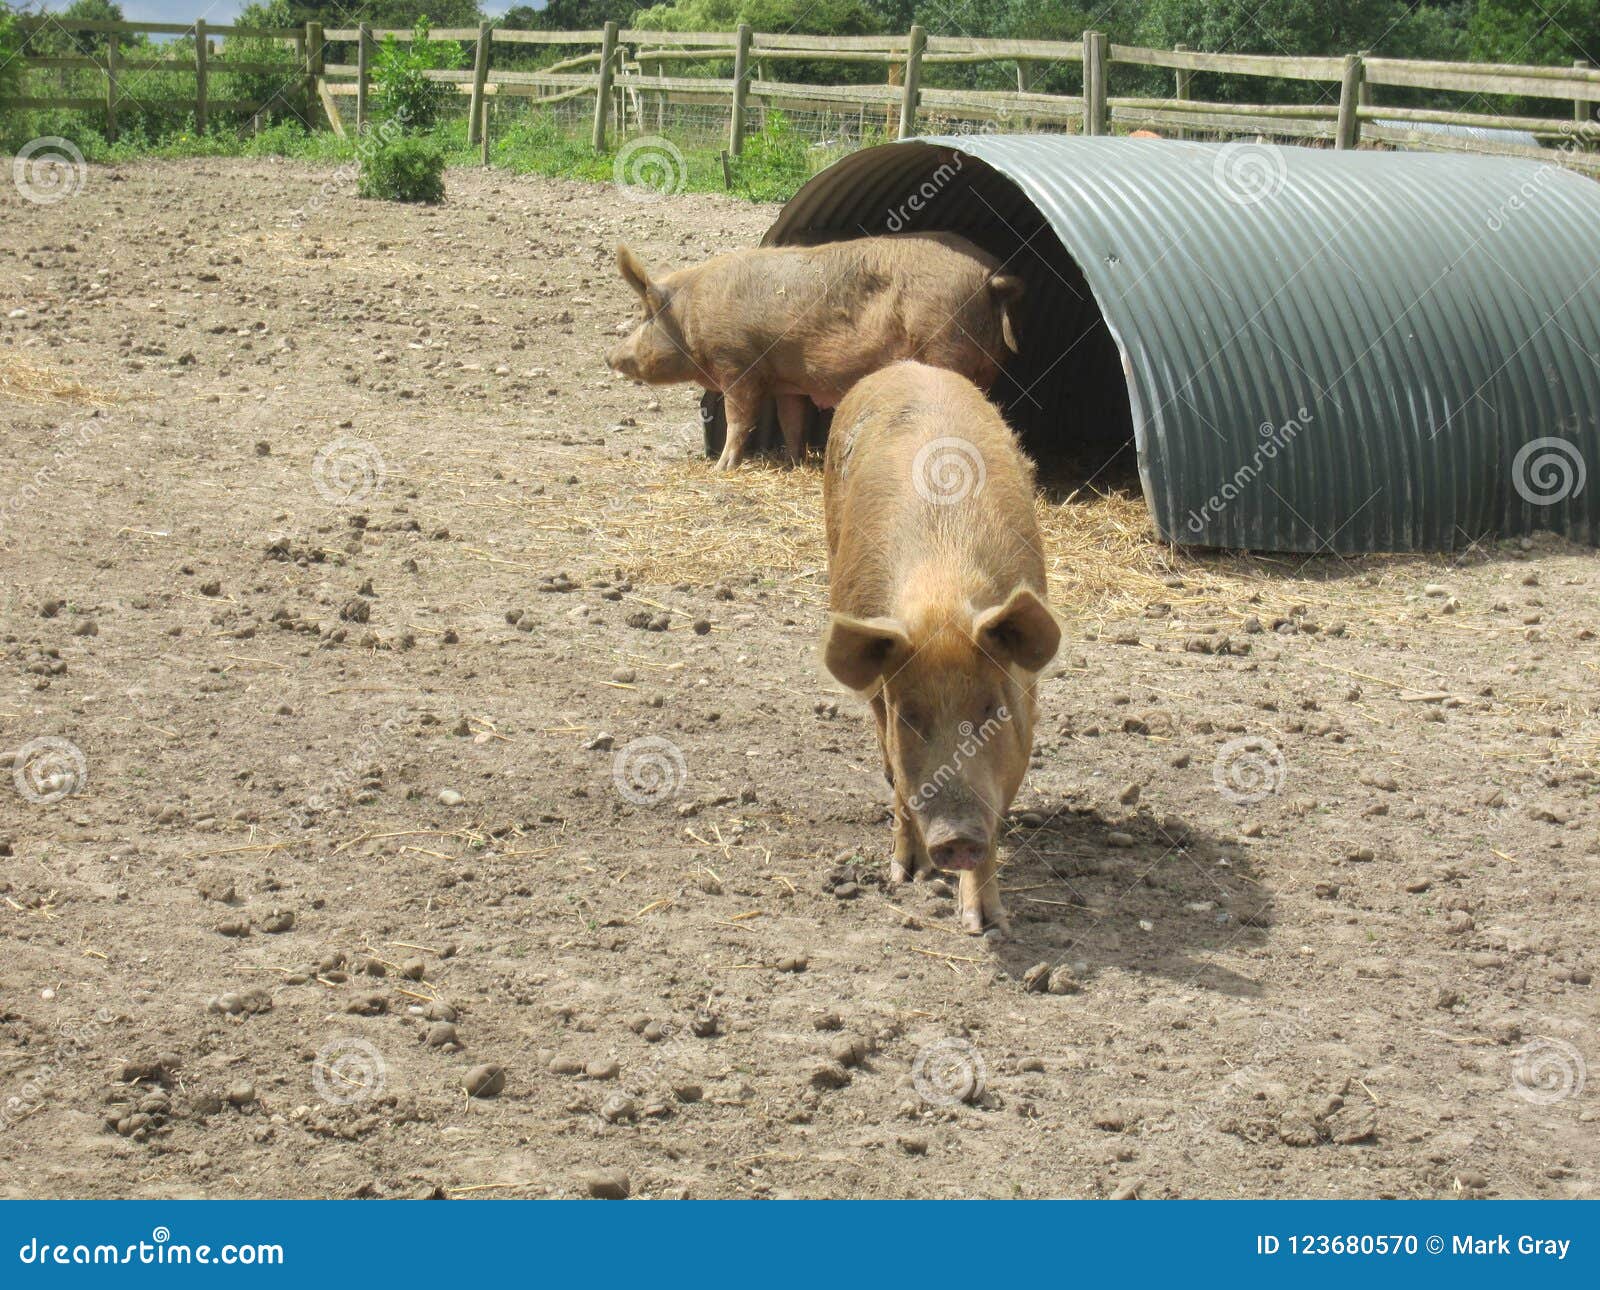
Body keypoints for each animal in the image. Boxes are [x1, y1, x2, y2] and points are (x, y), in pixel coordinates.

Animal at [605, 234, 1024, 471]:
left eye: (644, 316)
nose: (609, 357)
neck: (691, 312)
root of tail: (991, 277)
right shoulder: (788, 382)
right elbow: (792, 422)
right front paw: (794, 462)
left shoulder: (738, 364)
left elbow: (739, 418)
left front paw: (721, 468)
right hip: (988, 364)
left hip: (944, 343)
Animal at [821, 361, 1060, 936]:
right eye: (911, 717)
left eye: (994, 711)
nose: (954, 837)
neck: (943, 597)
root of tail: (908, 365)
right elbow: (901, 783)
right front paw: (906, 875)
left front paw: (987, 924)